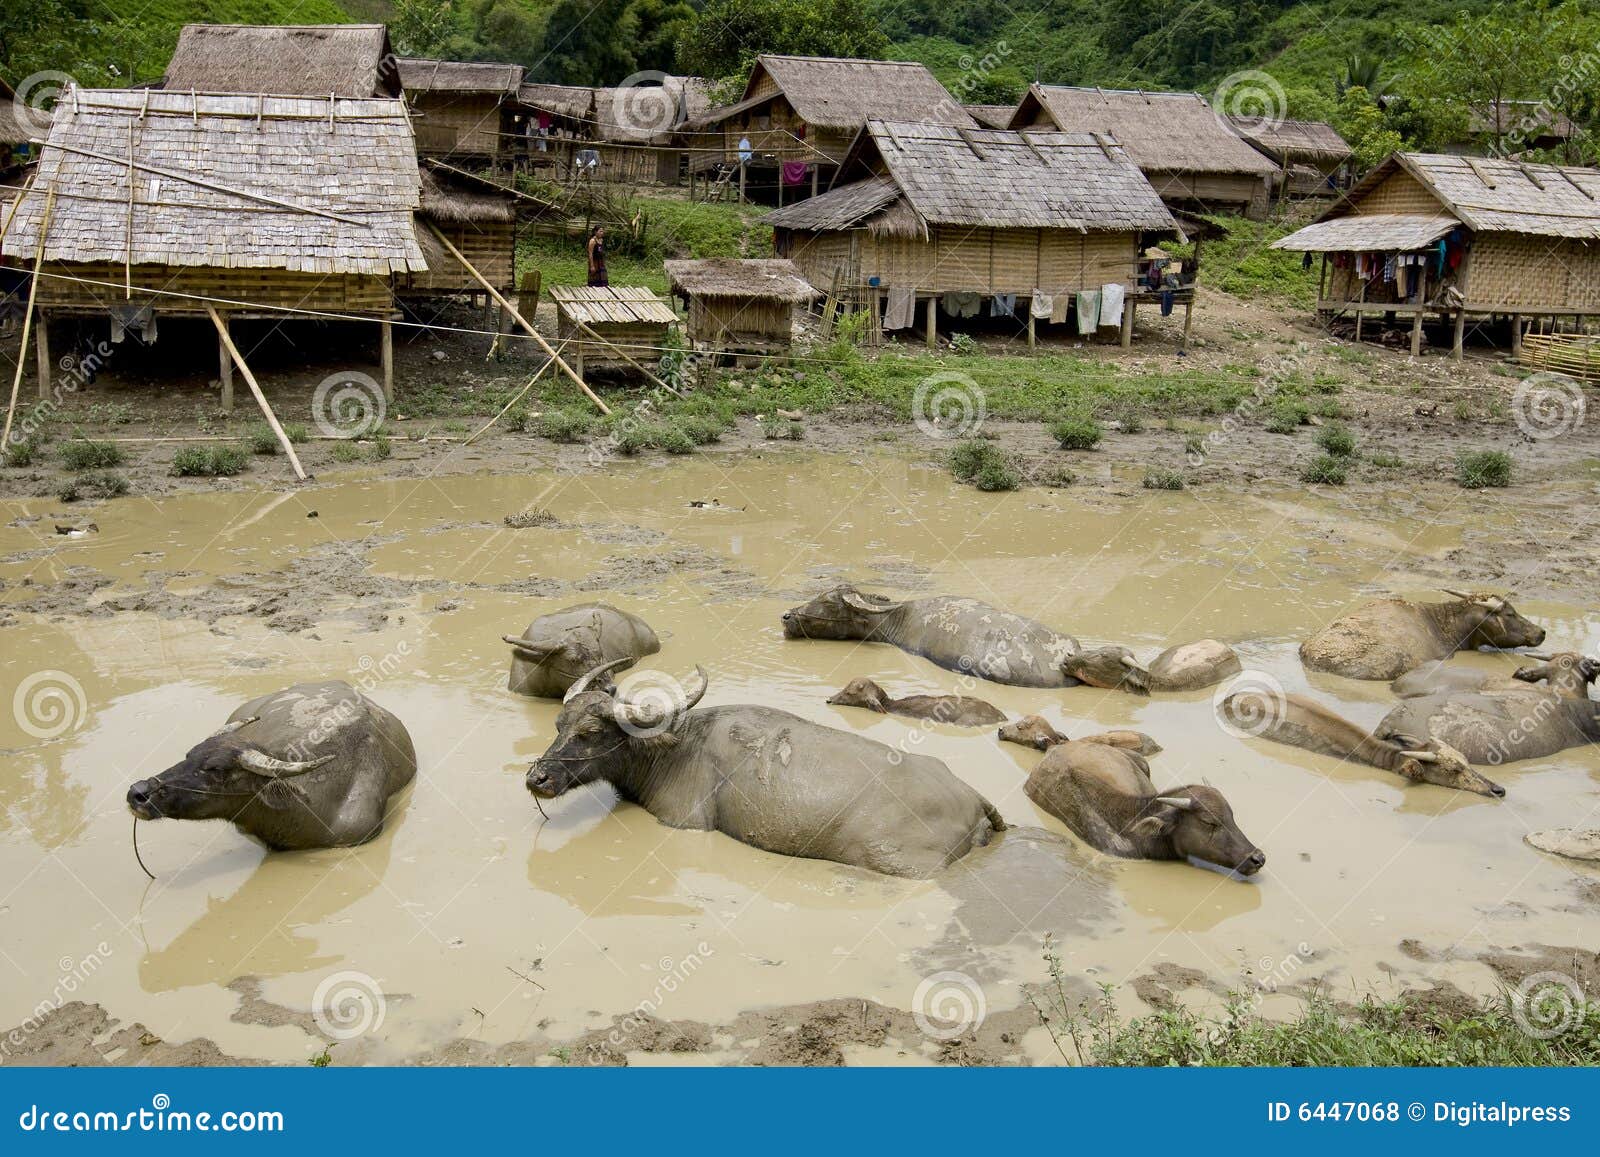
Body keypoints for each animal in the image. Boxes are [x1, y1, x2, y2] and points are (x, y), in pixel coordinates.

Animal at [526, 660, 1006, 878]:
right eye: (559, 724)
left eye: (590, 731)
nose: (538, 778)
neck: (677, 747)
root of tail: (971, 796)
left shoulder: (684, 822)